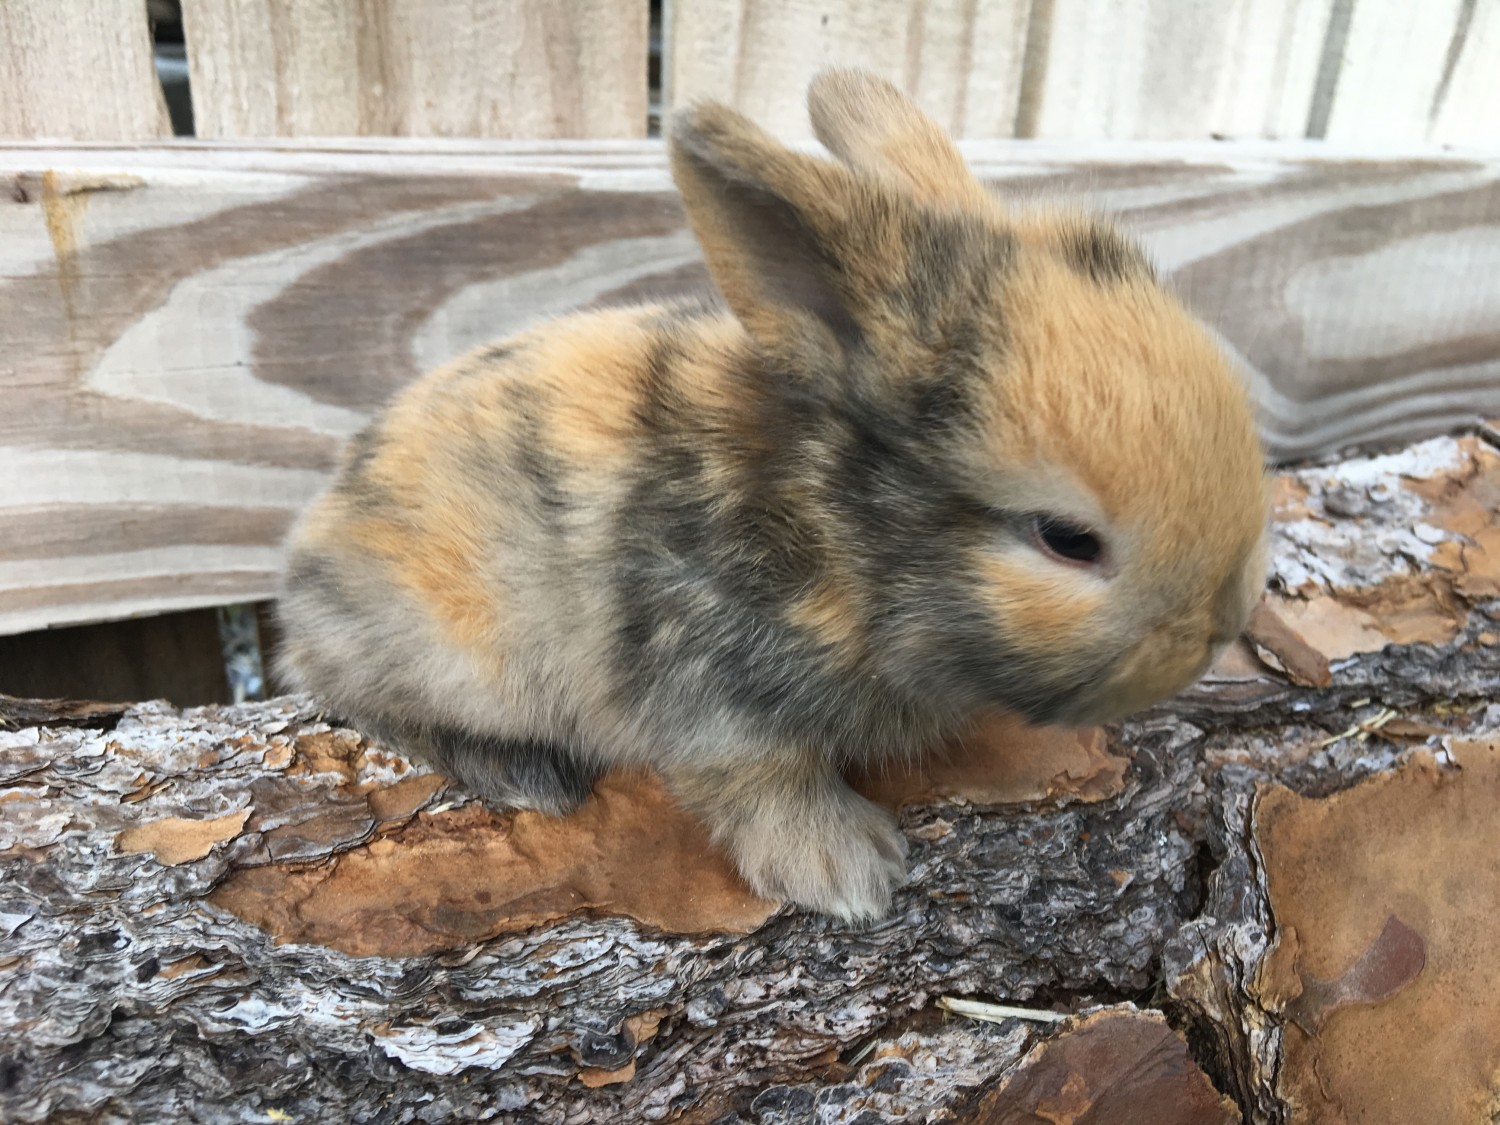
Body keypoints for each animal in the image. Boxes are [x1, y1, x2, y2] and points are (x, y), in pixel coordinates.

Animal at [276, 69, 1269, 923]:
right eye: (1066, 537)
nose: (1223, 619)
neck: (834, 526)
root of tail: (309, 557)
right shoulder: (713, 698)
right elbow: (762, 783)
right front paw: (852, 872)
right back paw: (525, 772)